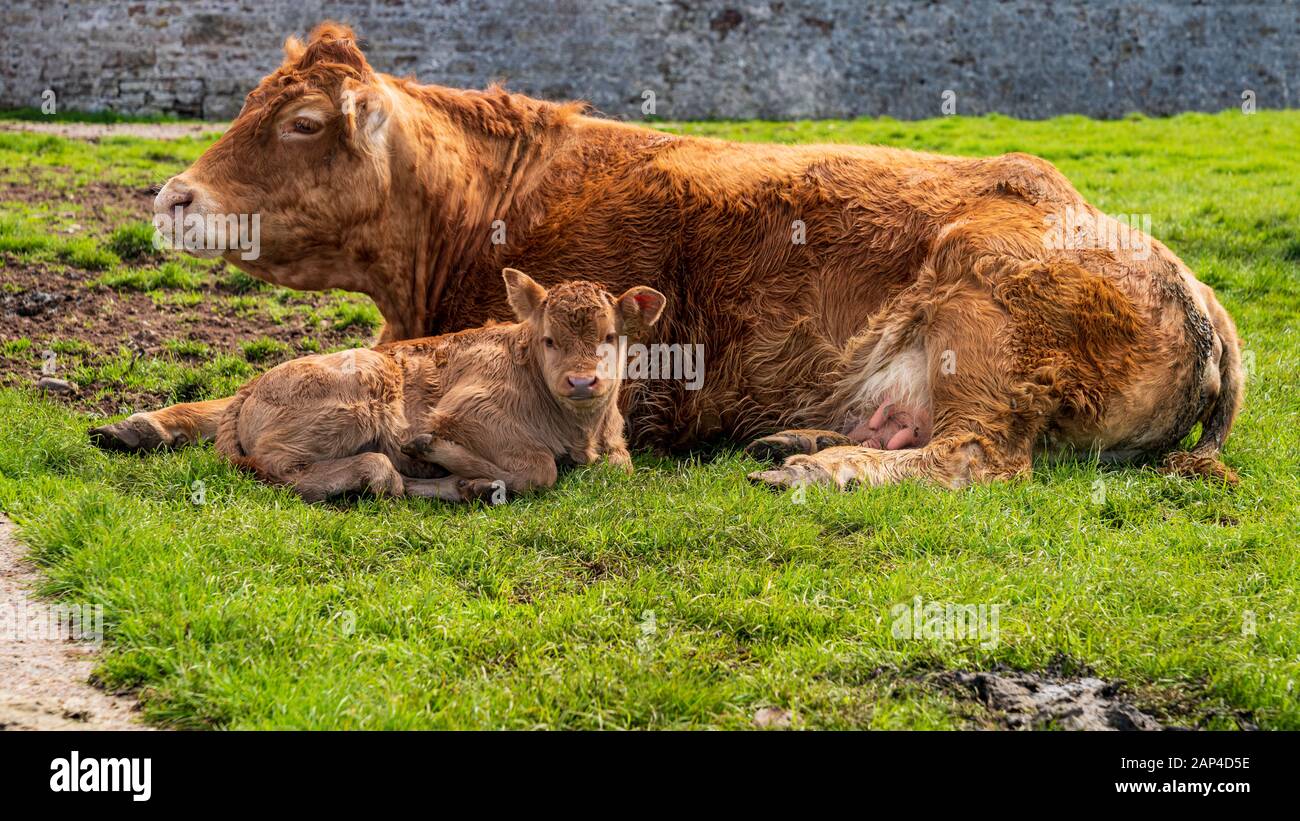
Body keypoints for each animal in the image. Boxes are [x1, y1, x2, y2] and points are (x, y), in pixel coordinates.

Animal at [212, 269, 665, 501]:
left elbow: (619, 465)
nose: (583, 380)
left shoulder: (615, 447)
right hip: (357, 395)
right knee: (280, 466)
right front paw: (432, 448)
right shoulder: (466, 410)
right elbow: (541, 468)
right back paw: (387, 471)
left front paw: (471, 480)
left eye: (610, 336)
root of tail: (251, 385)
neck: (579, 432)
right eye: (549, 339)